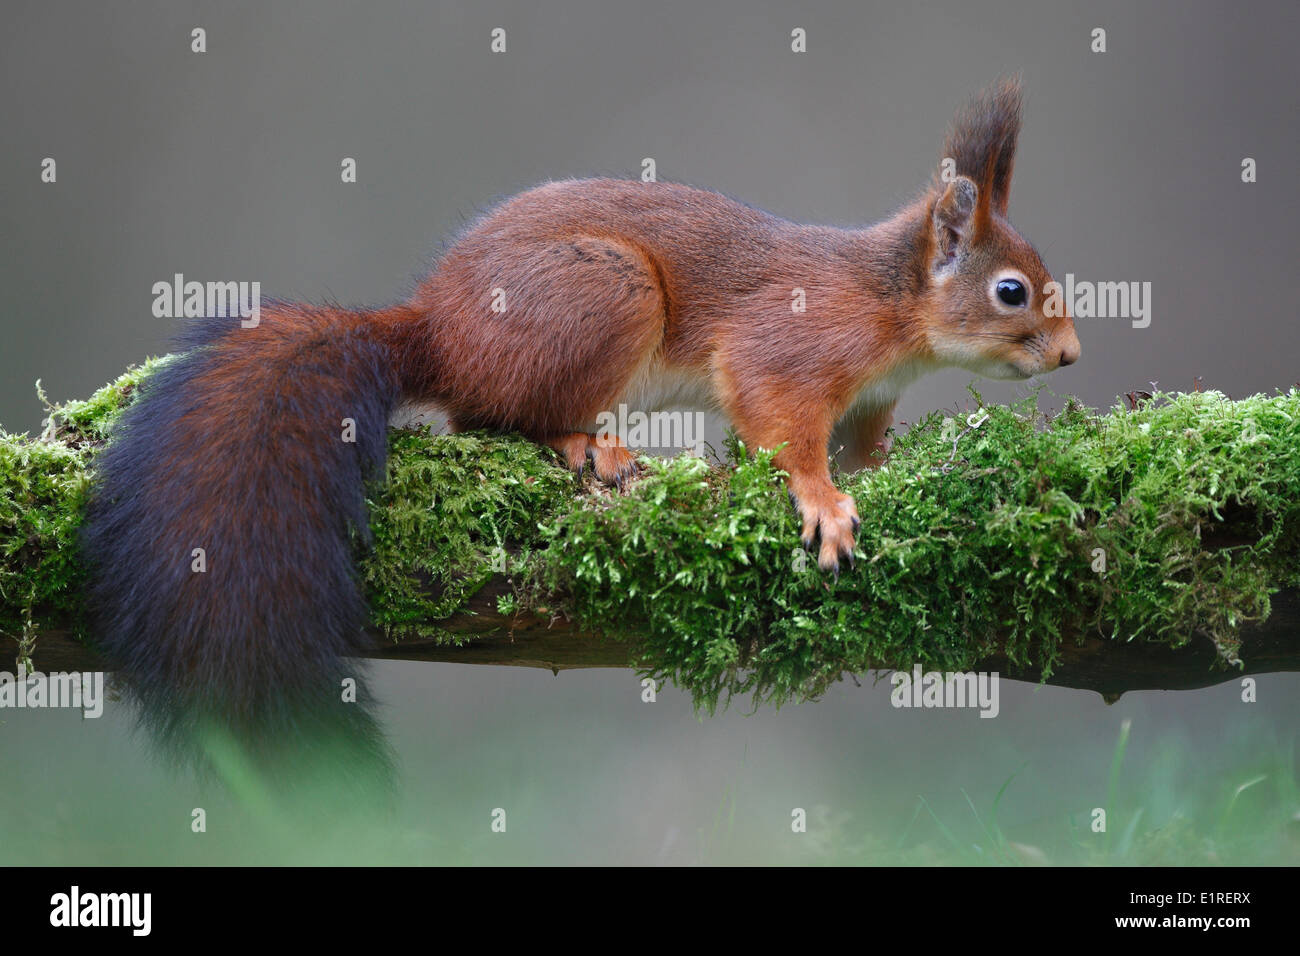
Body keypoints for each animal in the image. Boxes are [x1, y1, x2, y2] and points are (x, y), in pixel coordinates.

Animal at [82, 76, 1078, 717]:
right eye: (1011, 292)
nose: (1071, 355)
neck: (891, 306)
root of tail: (432, 326)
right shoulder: (790, 347)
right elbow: (780, 426)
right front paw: (823, 502)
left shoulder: (872, 393)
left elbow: (862, 442)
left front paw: (876, 465)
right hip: (606, 295)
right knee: (492, 415)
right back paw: (584, 444)